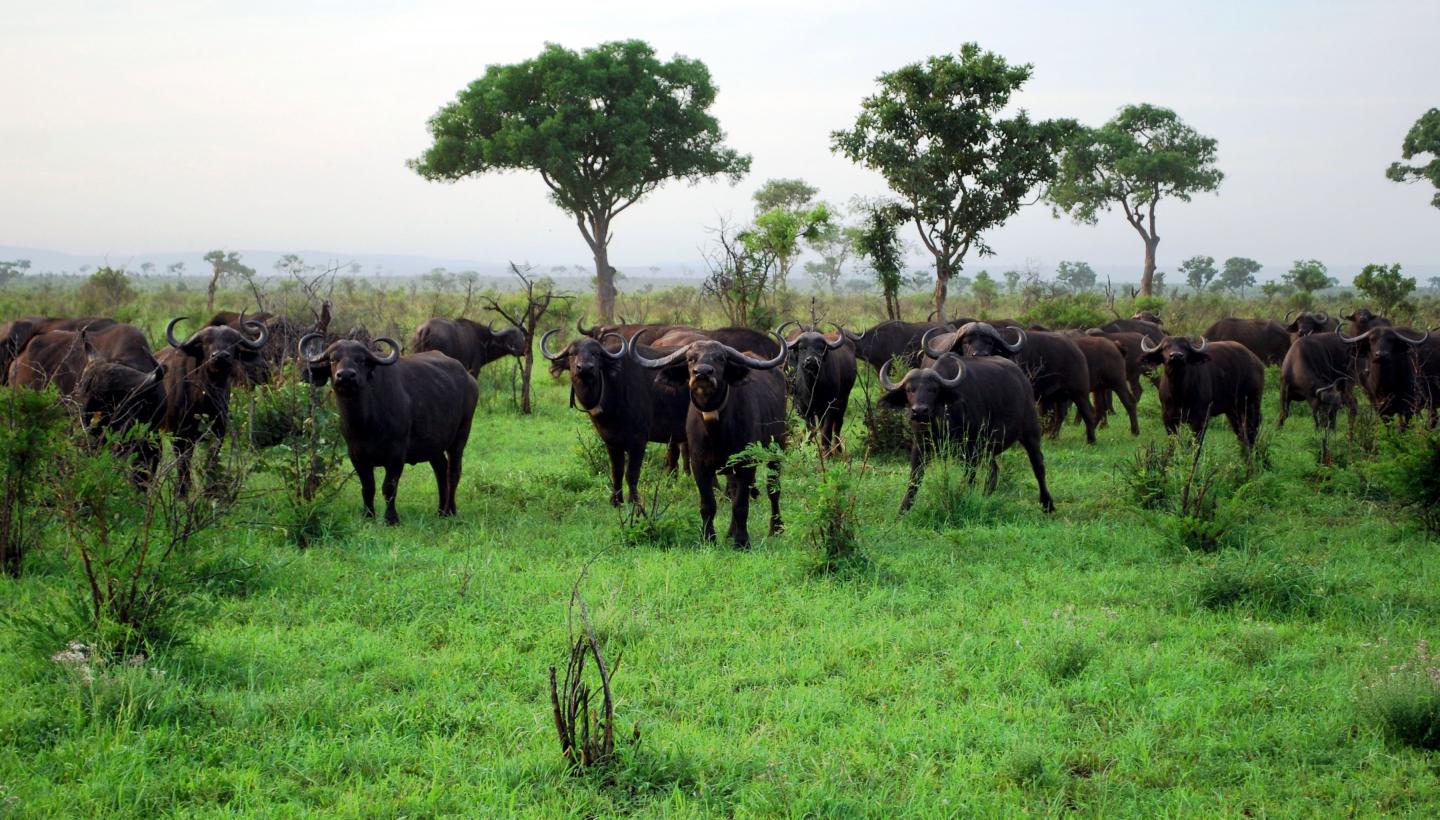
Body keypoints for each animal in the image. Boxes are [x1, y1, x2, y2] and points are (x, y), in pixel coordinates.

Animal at [301, 334, 479, 523]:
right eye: (333, 359)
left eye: (361, 359)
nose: (346, 376)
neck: (364, 422)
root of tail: (470, 379)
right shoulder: (356, 455)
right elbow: (368, 487)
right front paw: (368, 515)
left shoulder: (396, 454)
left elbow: (389, 487)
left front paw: (391, 519)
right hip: (433, 445)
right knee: (441, 470)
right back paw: (441, 511)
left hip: (461, 435)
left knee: (453, 472)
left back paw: (449, 510)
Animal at [540, 329, 689, 506]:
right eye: (572, 353)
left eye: (596, 354)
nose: (585, 368)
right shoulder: (611, 441)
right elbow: (616, 471)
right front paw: (616, 501)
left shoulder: (638, 440)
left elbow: (631, 473)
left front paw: (634, 502)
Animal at [630, 331, 789, 547]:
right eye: (690, 358)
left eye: (720, 358)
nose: (703, 373)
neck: (716, 430)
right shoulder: (699, 465)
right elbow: (708, 504)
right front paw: (708, 538)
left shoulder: (746, 463)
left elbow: (741, 505)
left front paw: (742, 542)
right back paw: (730, 533)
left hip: (776, 449)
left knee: (773, 490)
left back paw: (776, 528)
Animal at [878, 353, 1053, 513]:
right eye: (909, 390)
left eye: (933, 390)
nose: (920, 411)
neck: (943, 420)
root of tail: (1023, 380)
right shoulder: (920, 446)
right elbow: (914, 479)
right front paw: (902, 512)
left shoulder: (970, 449)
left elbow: (970, 478)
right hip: (987, 449)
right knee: (994, 471)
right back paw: (985, 497)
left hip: (1031, 432)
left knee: (1039, 466)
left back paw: (1047, 504)